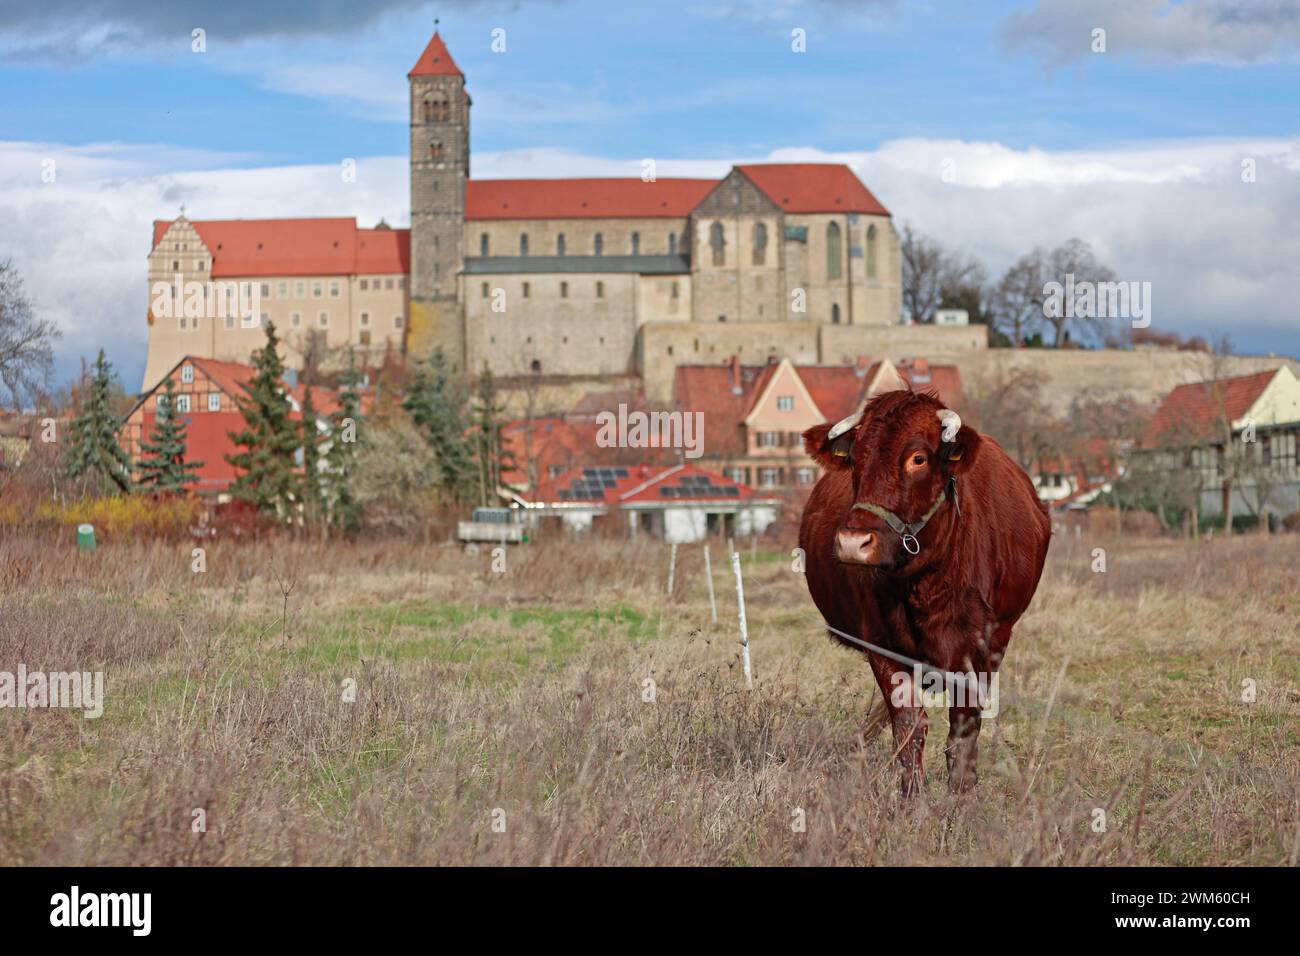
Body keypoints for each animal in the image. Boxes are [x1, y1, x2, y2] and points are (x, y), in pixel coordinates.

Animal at [799, 389, 1051, 795]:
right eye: (855, 458)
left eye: (918, 458)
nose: (853, 543)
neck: (926, 583)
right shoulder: (881, 645)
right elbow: (909, 727)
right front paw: (912, 801)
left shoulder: (981, 650)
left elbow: (963, 733)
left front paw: (960, 798)